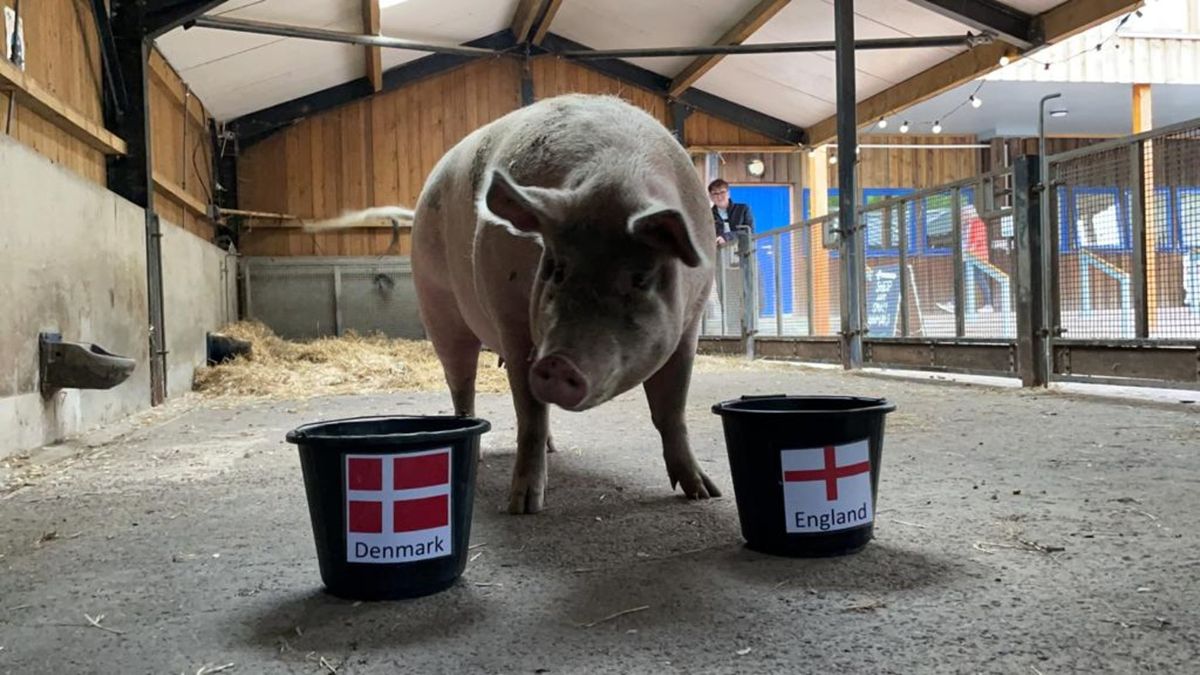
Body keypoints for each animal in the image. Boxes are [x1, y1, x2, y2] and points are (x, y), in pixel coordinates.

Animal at [307, 94, 720, 513]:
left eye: (639, 278)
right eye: (556, 269)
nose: (557, 363)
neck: (617, 174)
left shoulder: (688, 326)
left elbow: (671, 410)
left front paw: (704, 492)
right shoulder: (512, 321)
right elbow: (529, 415)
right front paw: (523, 506)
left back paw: (555, 449)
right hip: (438, 308)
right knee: (462, 385)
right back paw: (473, 448)